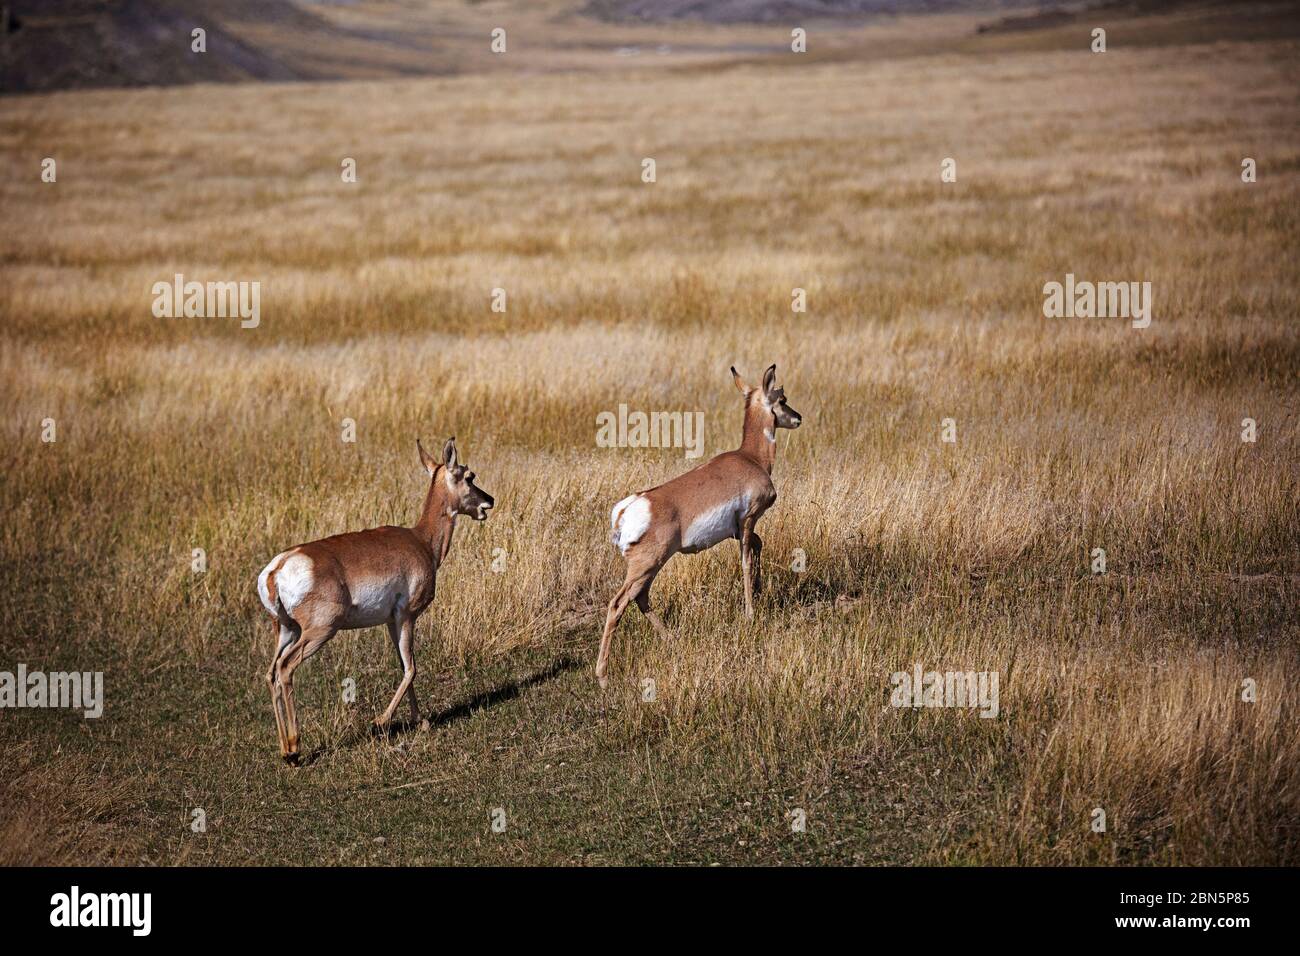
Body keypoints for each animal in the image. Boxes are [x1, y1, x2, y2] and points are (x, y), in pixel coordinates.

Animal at [256, 437, 494, 764]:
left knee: (270, 673)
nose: (489, 501)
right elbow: (412, 668)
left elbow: (405, 665)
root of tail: (278, 567)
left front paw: (421, 722)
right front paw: (381, 721)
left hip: (287, 631)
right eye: (469, 476)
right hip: (319, 632)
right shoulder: (407, 616)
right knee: (285, 669)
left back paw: (284, 749)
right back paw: (294, 749)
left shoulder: (392, 622)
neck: (420, 540)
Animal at [597, 364, 802, 687]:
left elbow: (758, 545)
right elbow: (745, 561)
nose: (798, 418)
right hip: (647, 564)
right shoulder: (748, 520)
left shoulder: (739, 529)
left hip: (651, 566)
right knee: (618, 604)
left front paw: (758, 590)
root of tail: (629, 507)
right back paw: (603, 677)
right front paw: (750, 613)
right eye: (782, 399)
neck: (750, 457)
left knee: (640, 598)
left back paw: (672, 640)